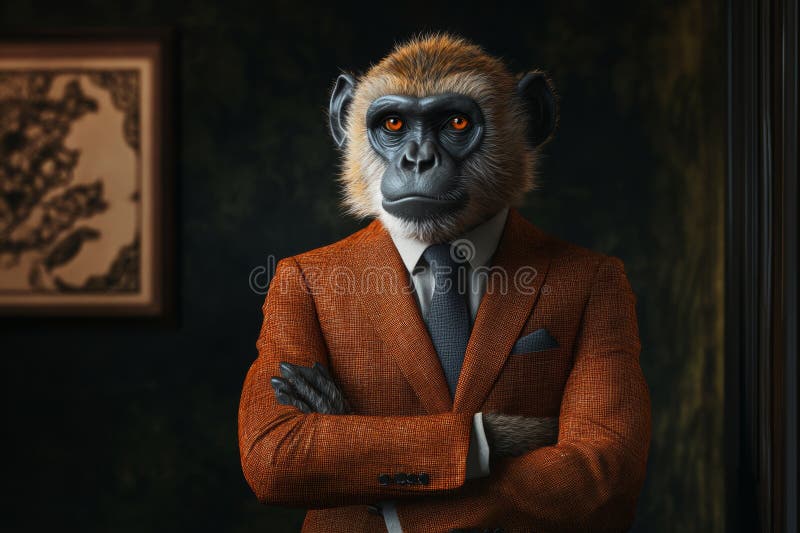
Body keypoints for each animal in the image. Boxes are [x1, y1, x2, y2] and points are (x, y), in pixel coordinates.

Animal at [240, 33, 650, 533]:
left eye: (456, 122)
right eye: (393, 123)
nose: (418, 160)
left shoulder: (610, 288)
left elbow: (600, 452)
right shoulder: (287, 286)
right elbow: (277, 442)